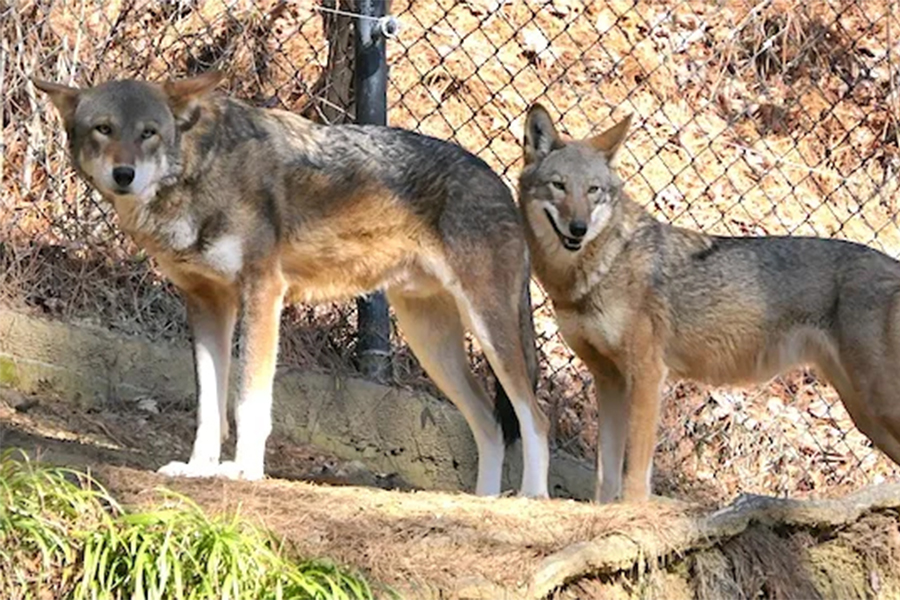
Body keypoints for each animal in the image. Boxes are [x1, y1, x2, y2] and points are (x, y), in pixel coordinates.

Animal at [32, 72, 551, 498]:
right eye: (104, 129)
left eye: (148, 133)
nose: (125, 174)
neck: (202, 174)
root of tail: (501, 181)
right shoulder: (205, 304)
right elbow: (209, 406)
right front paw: (199, 467)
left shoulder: (263, 294)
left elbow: (249, 400)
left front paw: (243, 471)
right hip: (432, 343)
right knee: (490, 425)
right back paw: (486, 502)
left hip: (489, 331)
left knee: (535, 419)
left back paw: (531, 498)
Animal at [519, 103, 900, 503]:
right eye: (559, 185)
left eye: (593, 190)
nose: (578, 228)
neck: (599, 267)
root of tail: (894, 264)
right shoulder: (608, 380)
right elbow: (605, 477)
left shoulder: (647, 375)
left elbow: (634, 475)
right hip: (866, 415)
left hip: (878, 407)